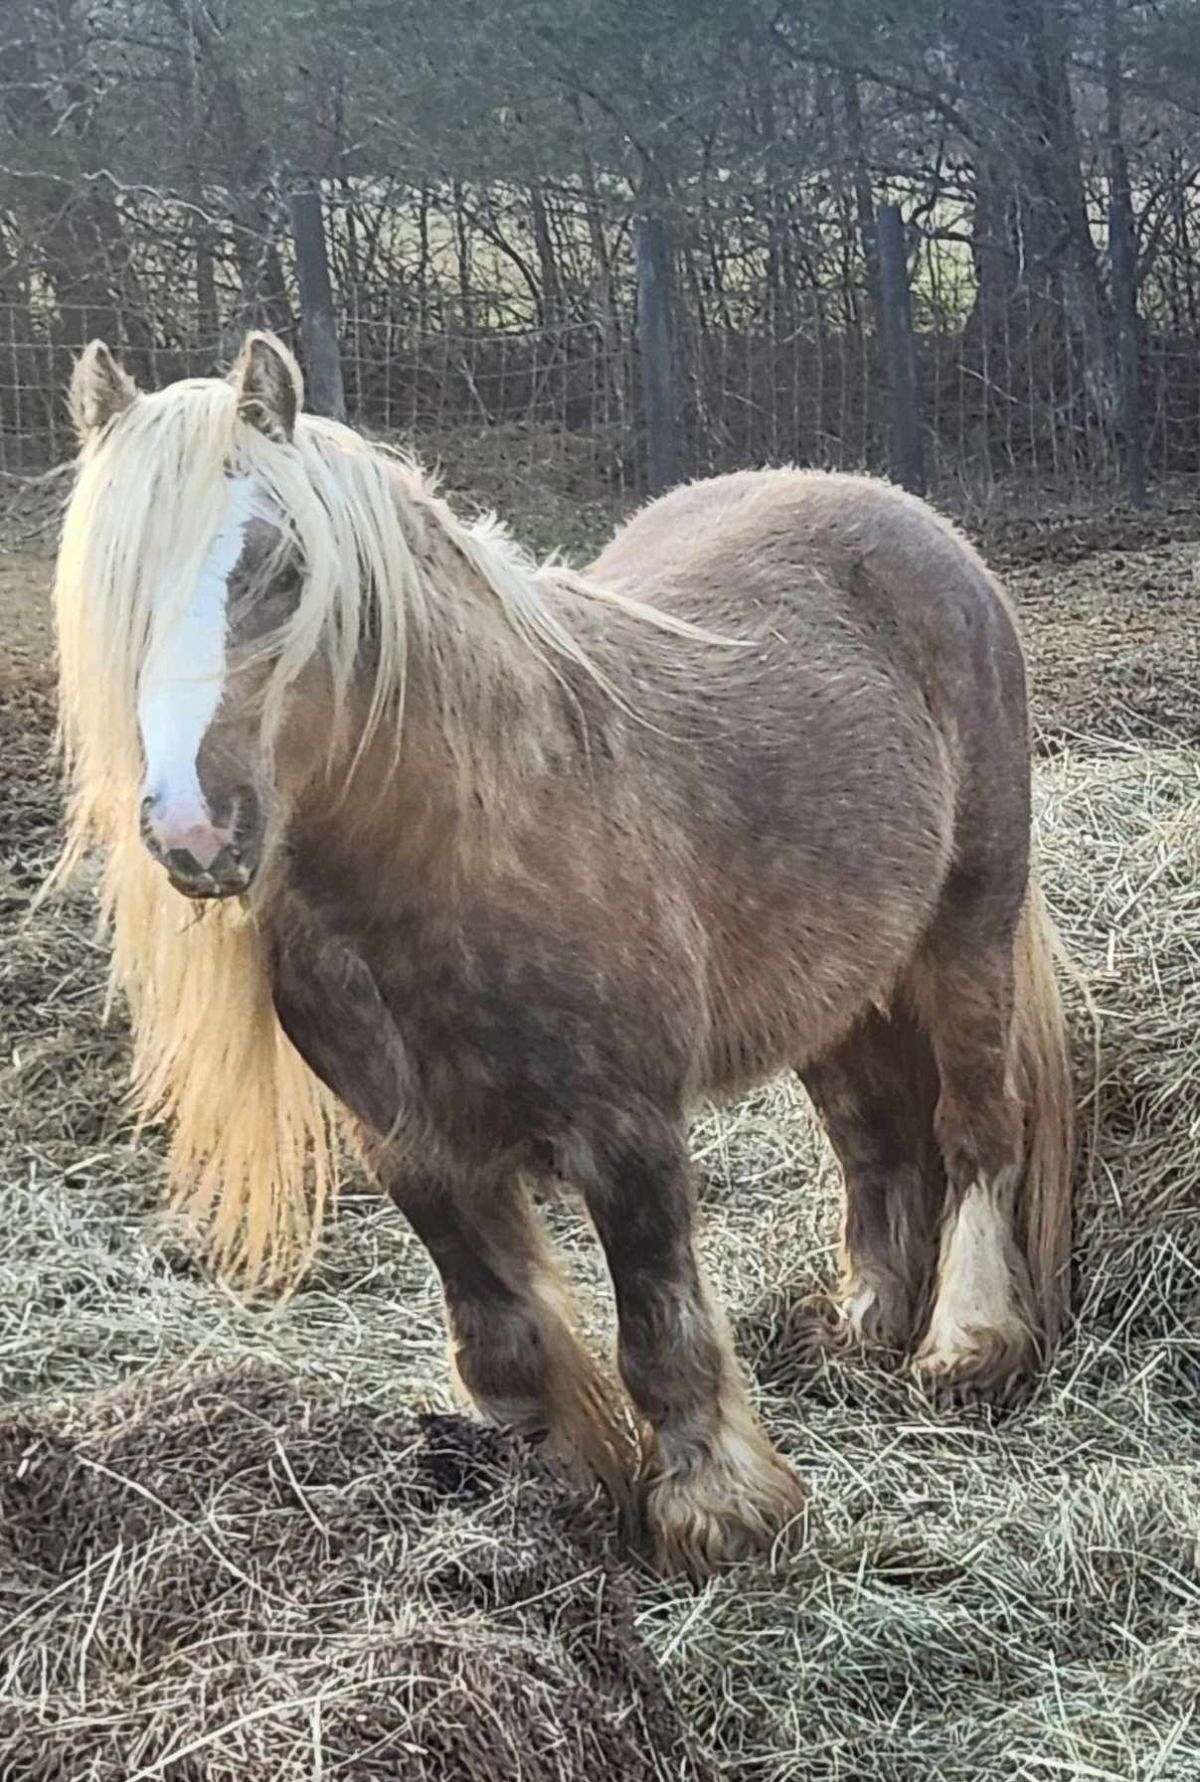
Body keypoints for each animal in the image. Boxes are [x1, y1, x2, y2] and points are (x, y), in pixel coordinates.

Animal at [50, 331, 1074, 1576]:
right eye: (114, 599)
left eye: (281, 567)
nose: (193, 830)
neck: (462, 846)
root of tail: (903, 514)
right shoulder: (412, 1150)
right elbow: (500, 1340)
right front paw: (555, 1501)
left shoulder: (625, 1130)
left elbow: (660, 1332)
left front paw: (719, 1515)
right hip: (835, 990)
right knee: (875, 1147)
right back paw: (863, 1329)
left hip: (968, 927)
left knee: (976, 1129)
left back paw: (966, 1344)